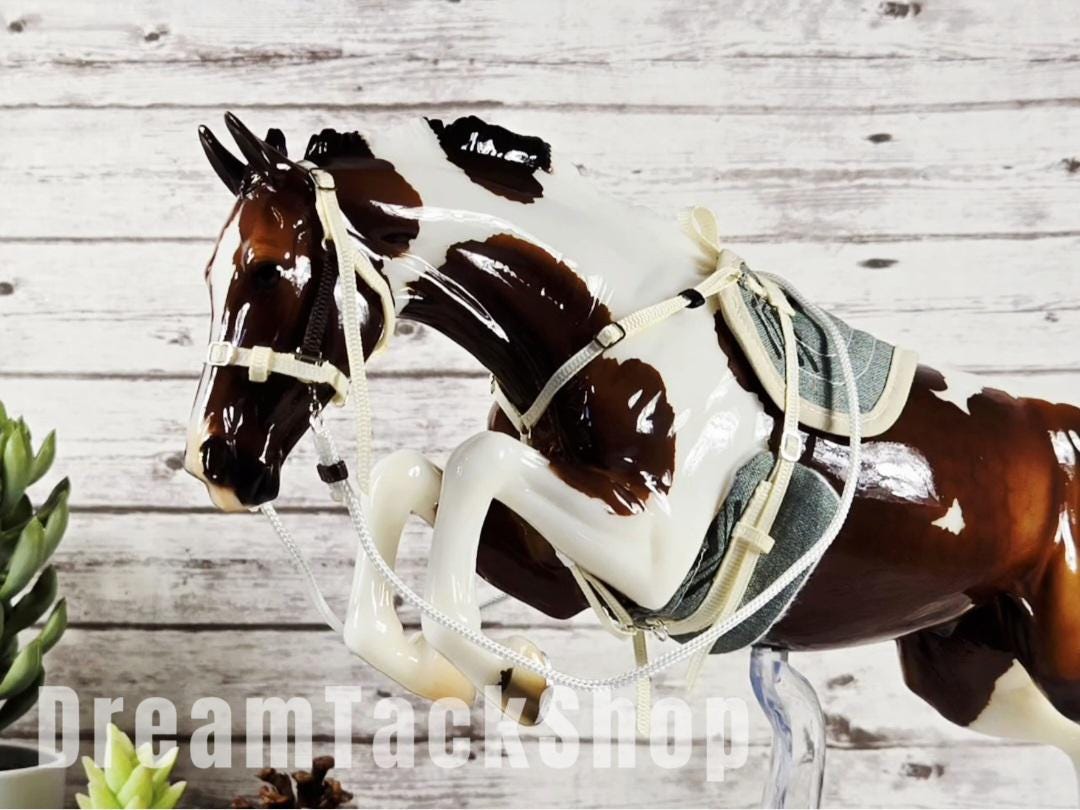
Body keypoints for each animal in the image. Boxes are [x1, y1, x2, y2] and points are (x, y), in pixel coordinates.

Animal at [182, 112, 1080, 788]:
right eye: (210, 274)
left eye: (267, 270)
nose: (217, 463)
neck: (601, 327)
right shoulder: (554, 567)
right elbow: (412, 479)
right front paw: (455, 671)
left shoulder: (652, 553)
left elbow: (474, 461)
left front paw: (510, 673)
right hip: (970, 674)